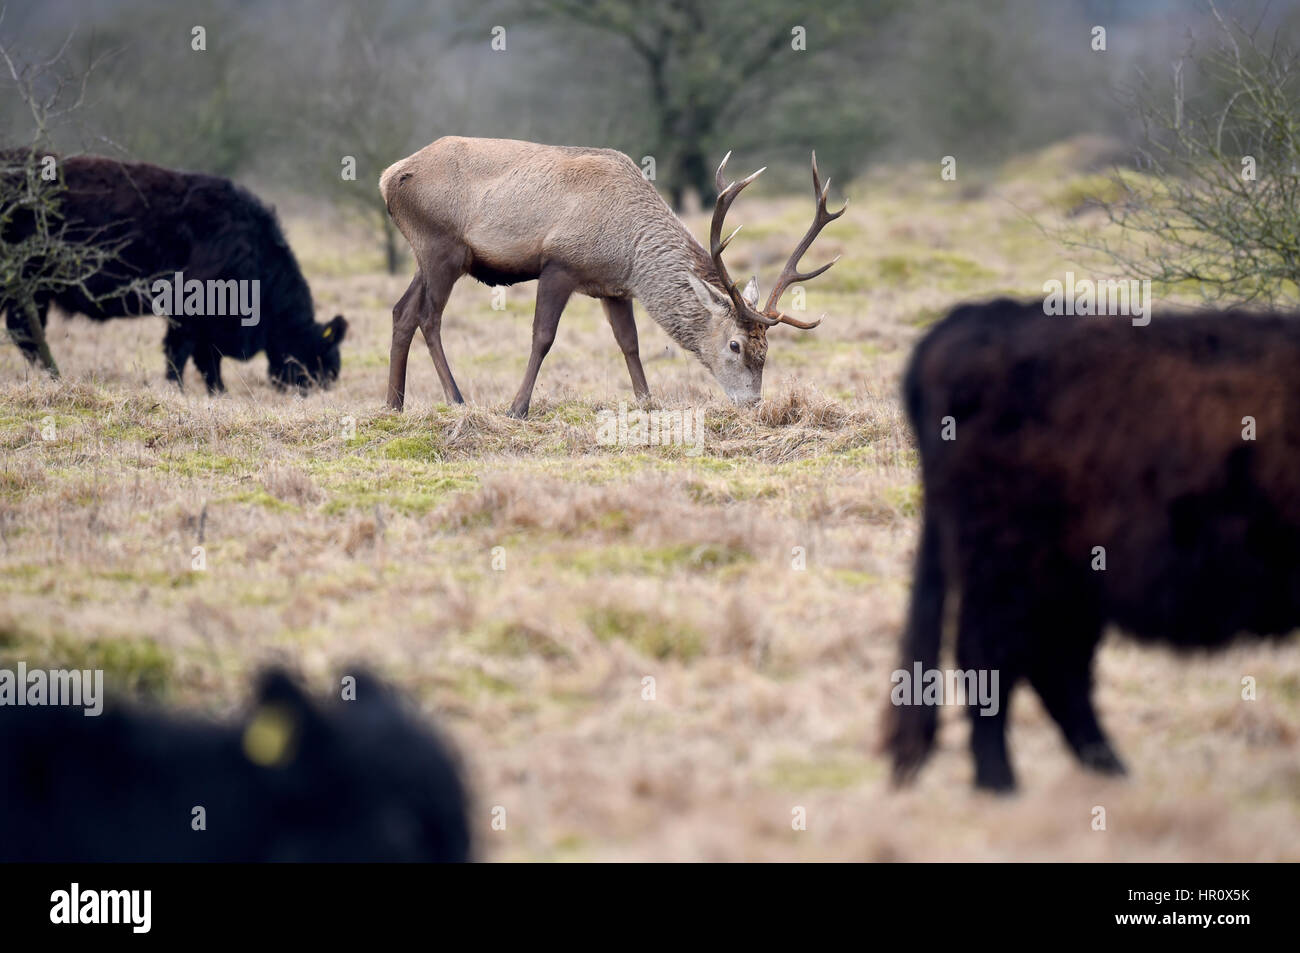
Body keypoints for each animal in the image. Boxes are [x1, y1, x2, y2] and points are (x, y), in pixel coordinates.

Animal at [1, 152, 346, 392]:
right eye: (319, 360)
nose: (313, 390)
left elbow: (207, 361)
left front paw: (217, 392)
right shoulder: (189, 312)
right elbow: (181, 355)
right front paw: (178, 390)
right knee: (27, 334)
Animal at [378, 137, 844, 418]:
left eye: (767, 350)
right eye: (735, 345)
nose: (753, 405)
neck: (628, 250)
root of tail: (387, 178)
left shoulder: (613, 289)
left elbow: (629, 343)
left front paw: (647, 401)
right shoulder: (559, 264)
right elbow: (543, 337)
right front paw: (517, 408)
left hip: (427, 255)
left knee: (402, 311)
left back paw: (394, 404)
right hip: (442, 247)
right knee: (429, 317)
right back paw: (456, 400)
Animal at [888, 298, 1300, 791]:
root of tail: (974, 317)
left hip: (1067, 581)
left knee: (1055, 669)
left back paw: (1110, 773)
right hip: (1010, 569)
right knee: (993, 659)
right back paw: (1002, 784)